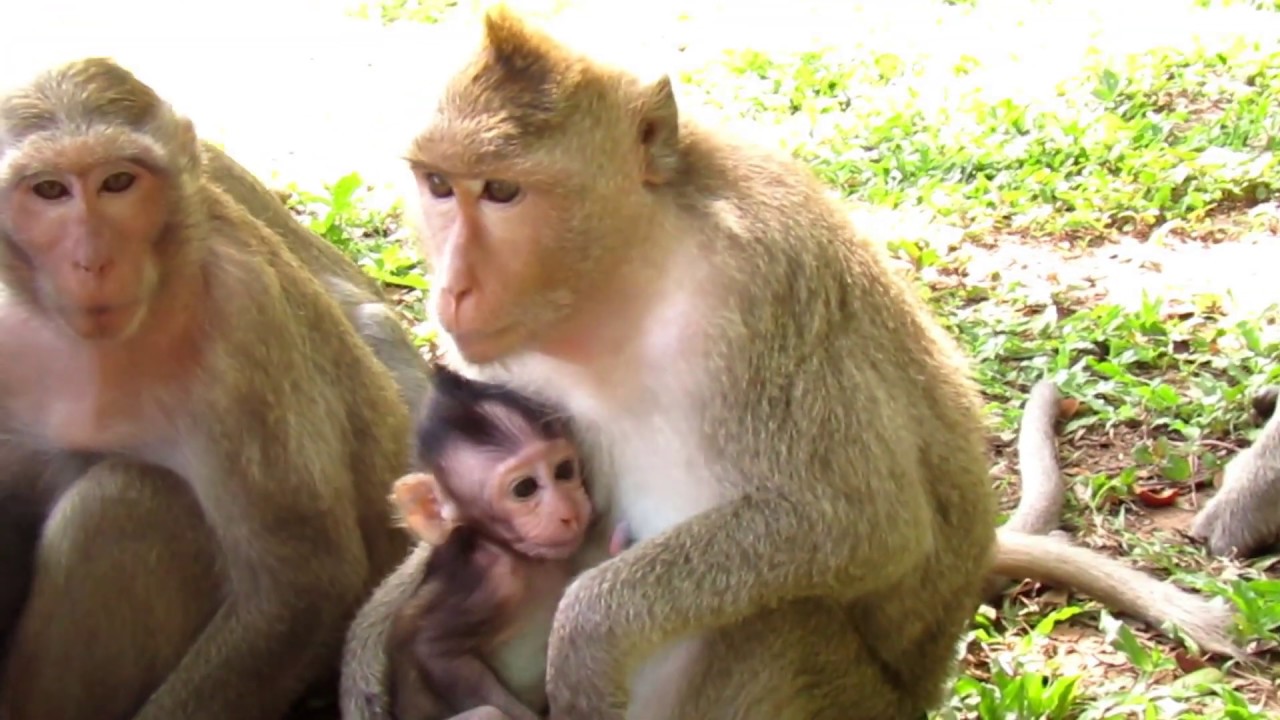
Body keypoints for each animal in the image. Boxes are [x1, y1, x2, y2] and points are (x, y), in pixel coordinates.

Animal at [0, 57, 414, 720]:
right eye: (49, 191)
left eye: (119, 182)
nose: (94, 260)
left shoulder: (242, 317)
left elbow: (300, 585)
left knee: (125, 498)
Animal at [340, 8, 1247, 719]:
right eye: (437, 184)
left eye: (501, 192)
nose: (452, 288)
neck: (631, 277)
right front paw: (369, 642)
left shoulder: (759, 290)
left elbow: (865, 520)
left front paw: (588, 632)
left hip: (847, 696)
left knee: (772, 622)